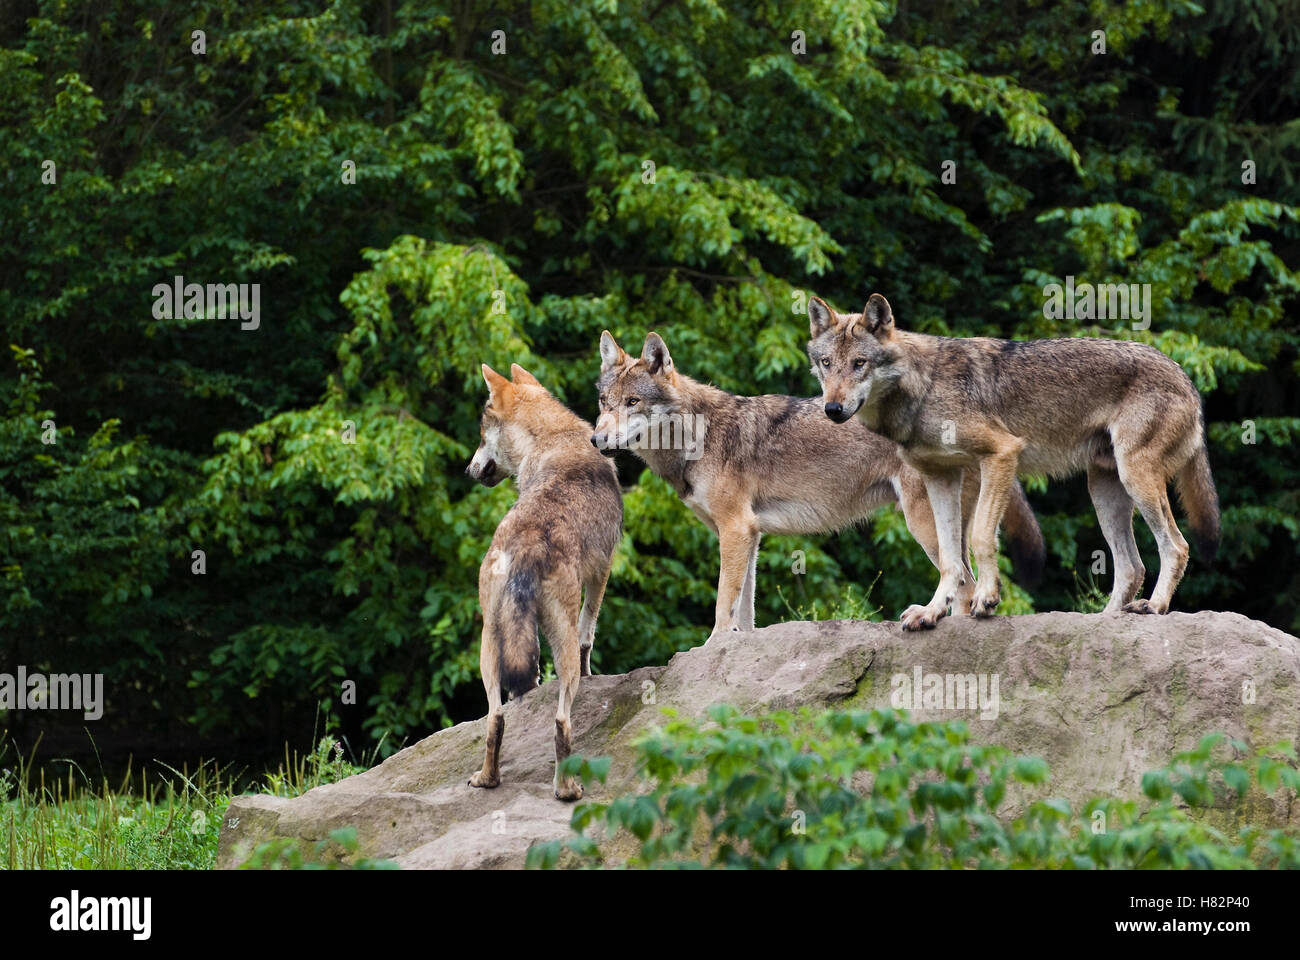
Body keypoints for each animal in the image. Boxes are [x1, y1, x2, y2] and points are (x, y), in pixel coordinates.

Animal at [465, 363, 622, 800]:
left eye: (481, 435)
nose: (467, 470)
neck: (555, 437)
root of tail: (527, 543)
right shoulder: (602, 571)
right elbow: (590, 635)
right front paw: (594, 673)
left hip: (488, 641)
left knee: (495, 718)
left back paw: (487, 779)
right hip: (559, 642)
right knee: (561, 721)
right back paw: (567, 789)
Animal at [591, 331, 1044, 639]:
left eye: (633, 403)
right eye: (603, 403)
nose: (596, 439)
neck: (696, 437)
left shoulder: (736, 530)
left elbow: (723, 604)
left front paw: (712, 648)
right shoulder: (749, 536)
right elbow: (745, 613)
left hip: (923, 525)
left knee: (964, 585)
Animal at [806, 293, 1219, 630]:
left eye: (859, 363)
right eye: (827, 363)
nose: (832, 408)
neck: (922, 387)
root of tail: (1186, 377)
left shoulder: (1001, 454)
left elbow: (979, 539)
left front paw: (986, 599)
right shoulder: (940, 477)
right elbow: (950, 559)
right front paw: (932, 612)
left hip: (1136, 479)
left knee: (1176, 546)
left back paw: (1155, 606)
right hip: (1104, 492)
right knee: (1133, 567)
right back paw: (1104, 620)